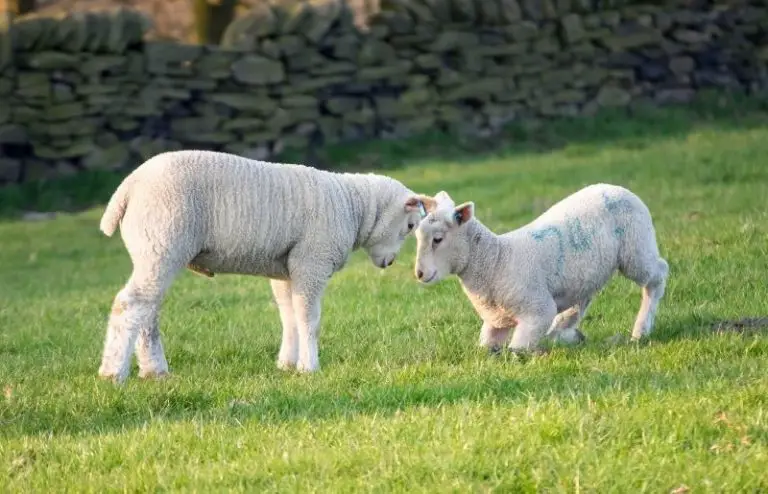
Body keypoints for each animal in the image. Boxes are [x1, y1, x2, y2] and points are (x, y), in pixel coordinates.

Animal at [97, 149, 434, 383]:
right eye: (410, 226)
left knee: (148, 310)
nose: (389, 263)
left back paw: (154, 371)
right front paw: (310, 367)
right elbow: (309, 319)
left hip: (154, 252)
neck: (353, 207)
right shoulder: (311, 262)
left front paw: (287, 364)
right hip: (162, 242)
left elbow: (289, 317)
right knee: (130, 304)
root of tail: (128, 188)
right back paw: (112, 373)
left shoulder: (286, 270)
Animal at [413, 184, 669, 354]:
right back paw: (567, 334)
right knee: (578, 304)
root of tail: (618, 188)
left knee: (658, 275)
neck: (495, 260)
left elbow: (517, 351)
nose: (419, 274)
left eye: (437, 239)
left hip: (636, 248)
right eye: (416, 236)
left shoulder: (537, 310)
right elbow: (487, 348)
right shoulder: (495, 322)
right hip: (582, 275)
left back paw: (640, 330)